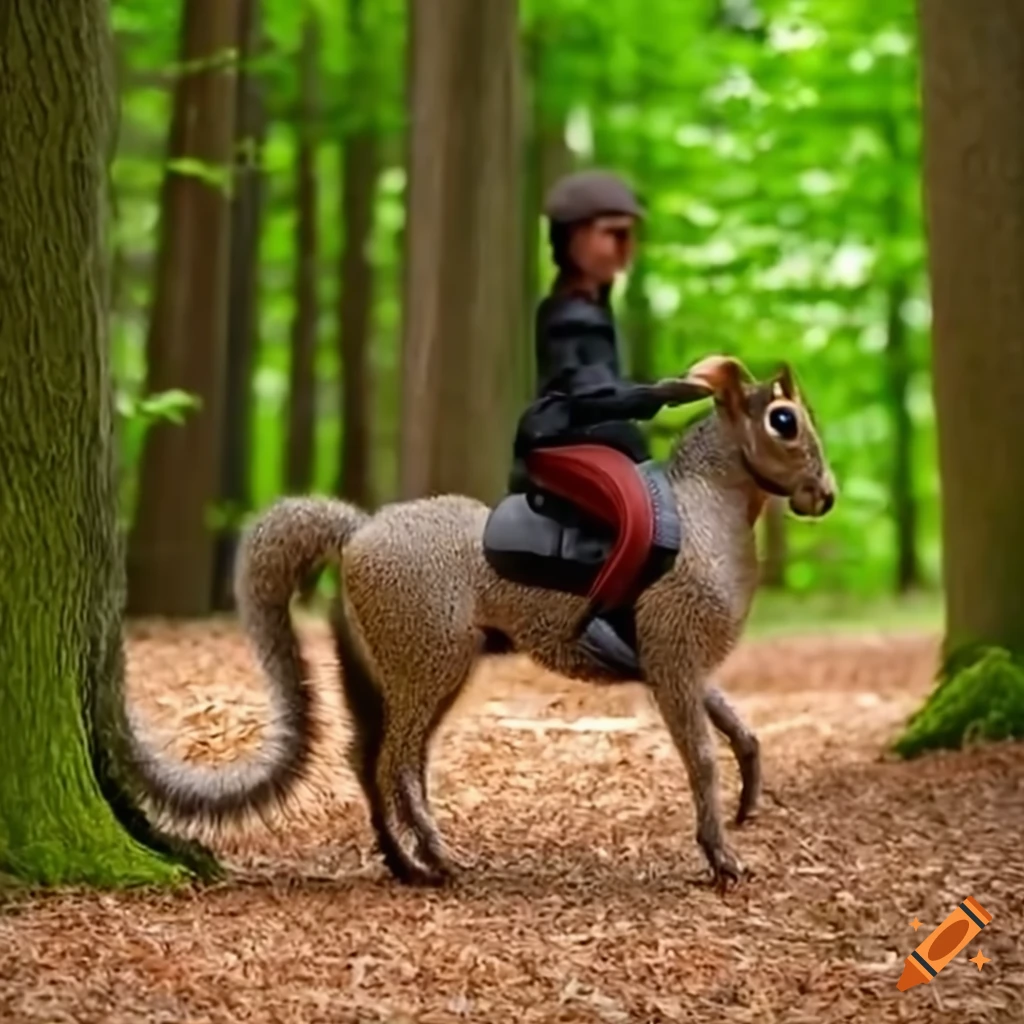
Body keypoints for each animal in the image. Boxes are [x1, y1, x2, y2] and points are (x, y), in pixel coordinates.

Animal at [125, 355, 836, 891]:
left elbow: (739, 730)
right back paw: (438, 859)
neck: (702, 514)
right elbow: (702, 758)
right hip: (429, 660)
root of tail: (356, 538)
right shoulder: (673, 657)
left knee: (372, 760)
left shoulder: (677, 665)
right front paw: (723, 860)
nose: (824, 496)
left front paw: (748, 804)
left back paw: (405, 863)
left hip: (387, 670)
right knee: (395, 763)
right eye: (783, 420)